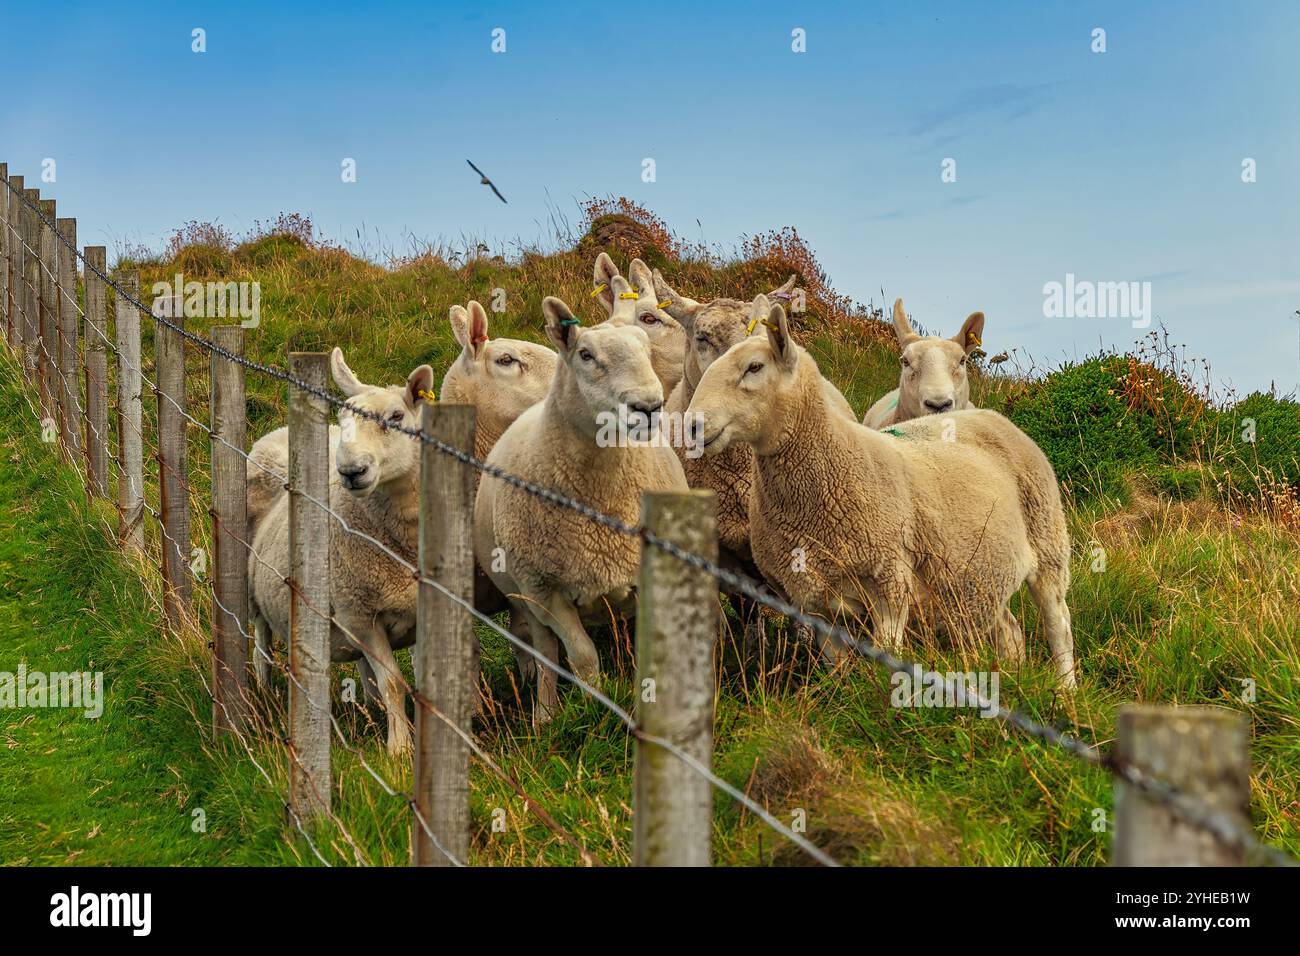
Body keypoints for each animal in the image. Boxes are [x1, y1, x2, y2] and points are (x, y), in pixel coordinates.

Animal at [248, 349, 434, 755]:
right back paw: (262, 692)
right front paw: (399, 750)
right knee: (261, 641)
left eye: (397, 417)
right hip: (251, 587)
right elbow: (393, 684)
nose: (350, 470)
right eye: (343, 418)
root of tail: (279, 433)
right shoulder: (360, 617)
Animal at [474, 291, 688, 719]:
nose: (649, 406)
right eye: (586, 355)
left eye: (646, 349)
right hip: (523, 598)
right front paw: (595, 708)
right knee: (545, 653)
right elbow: (582, 658)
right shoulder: (545, 592)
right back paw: (545, 715)